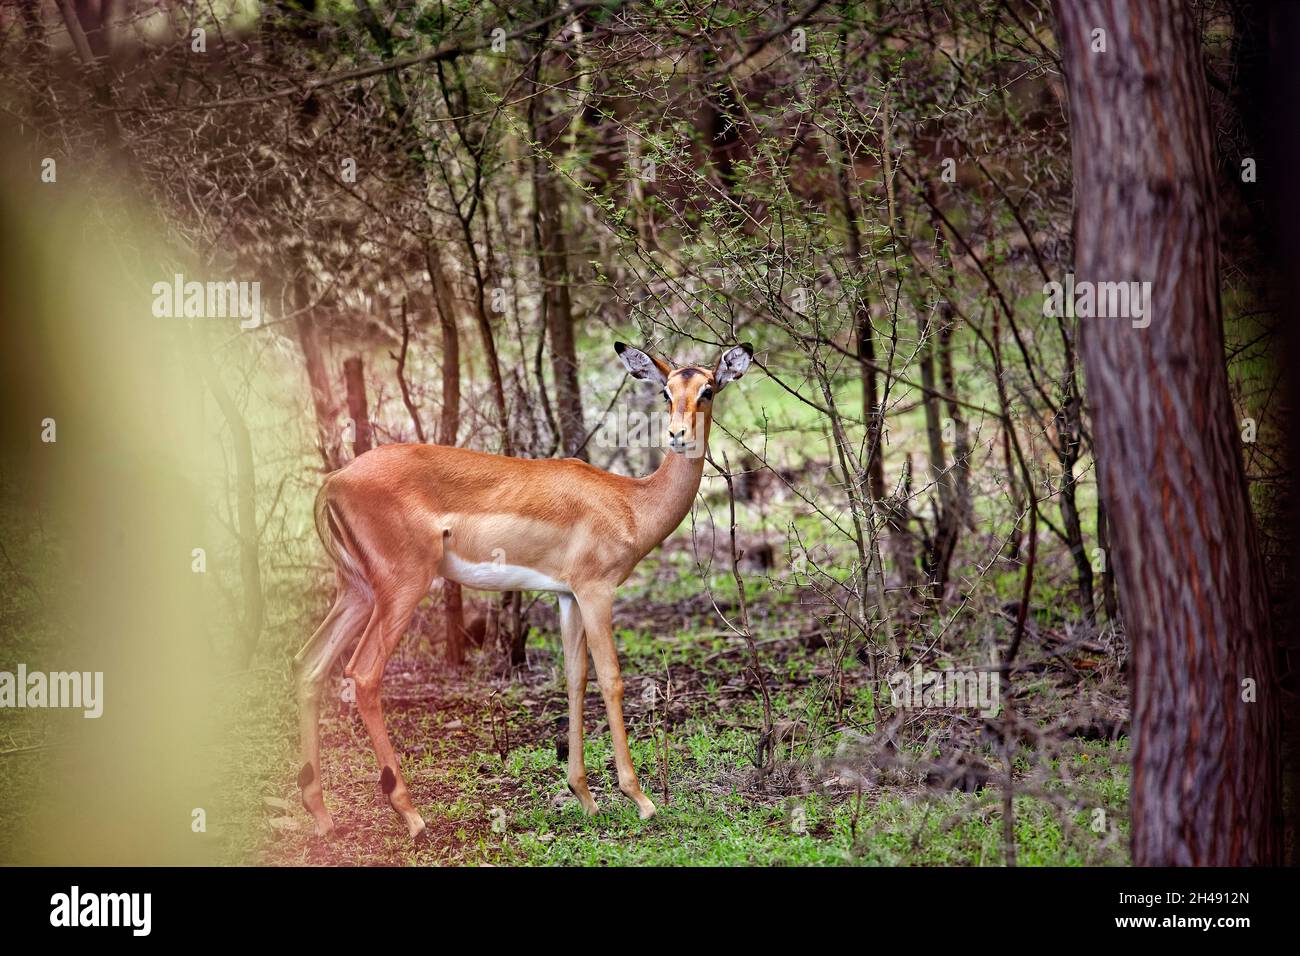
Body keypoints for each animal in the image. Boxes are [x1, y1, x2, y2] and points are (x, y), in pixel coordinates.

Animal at [293, 341, 754, 839]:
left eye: (707, 389)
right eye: (666, 392)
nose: (677, 435)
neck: (629, 503)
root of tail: (334, 480)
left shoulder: (567, 596)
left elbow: (575, 677)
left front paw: (584, 797)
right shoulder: (596, 590)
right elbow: (612, 679)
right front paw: (641, 800)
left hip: (356, 591)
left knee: (308, 664)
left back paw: (321, 815)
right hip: (401, 588)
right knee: (362, 674)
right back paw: (411, 815)